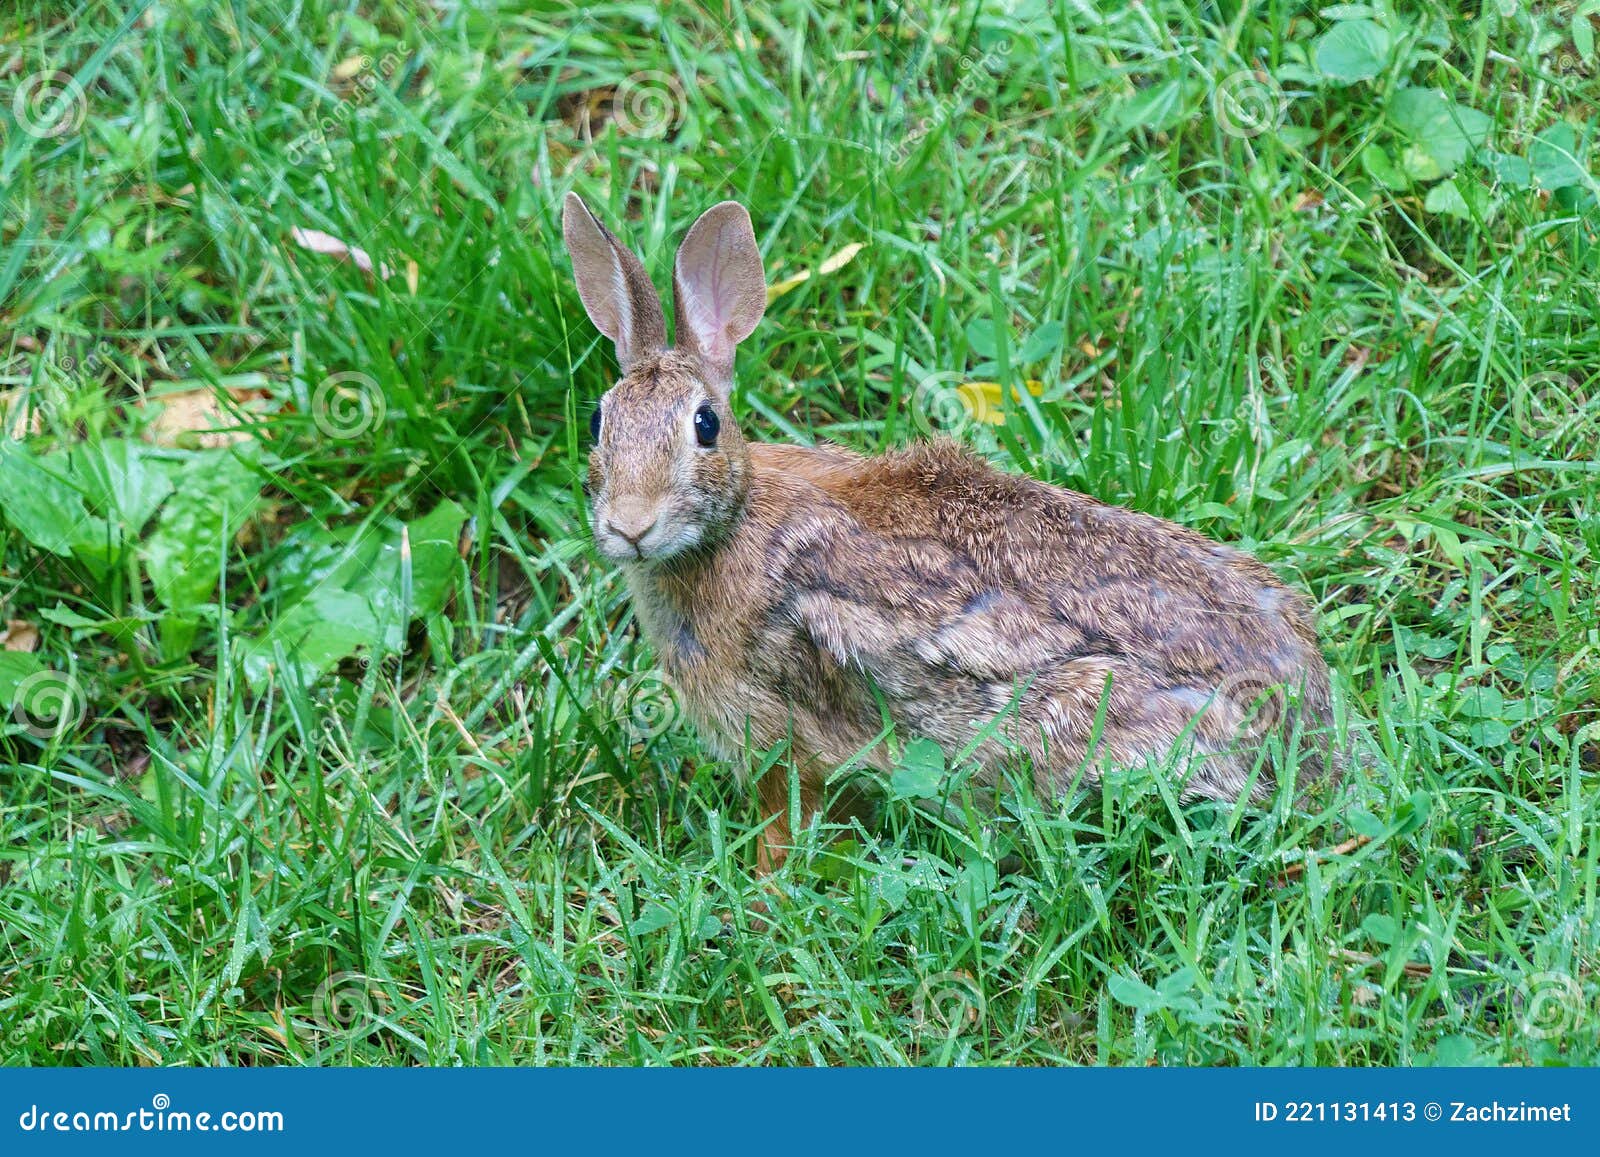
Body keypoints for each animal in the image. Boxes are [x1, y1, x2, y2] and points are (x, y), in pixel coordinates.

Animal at [562, 192, 1340, 874]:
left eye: (705, 425)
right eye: (599, 422)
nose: (631, 526)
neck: (734, 519)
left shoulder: (781, 735)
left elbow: (786, 820)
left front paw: (761, 889)